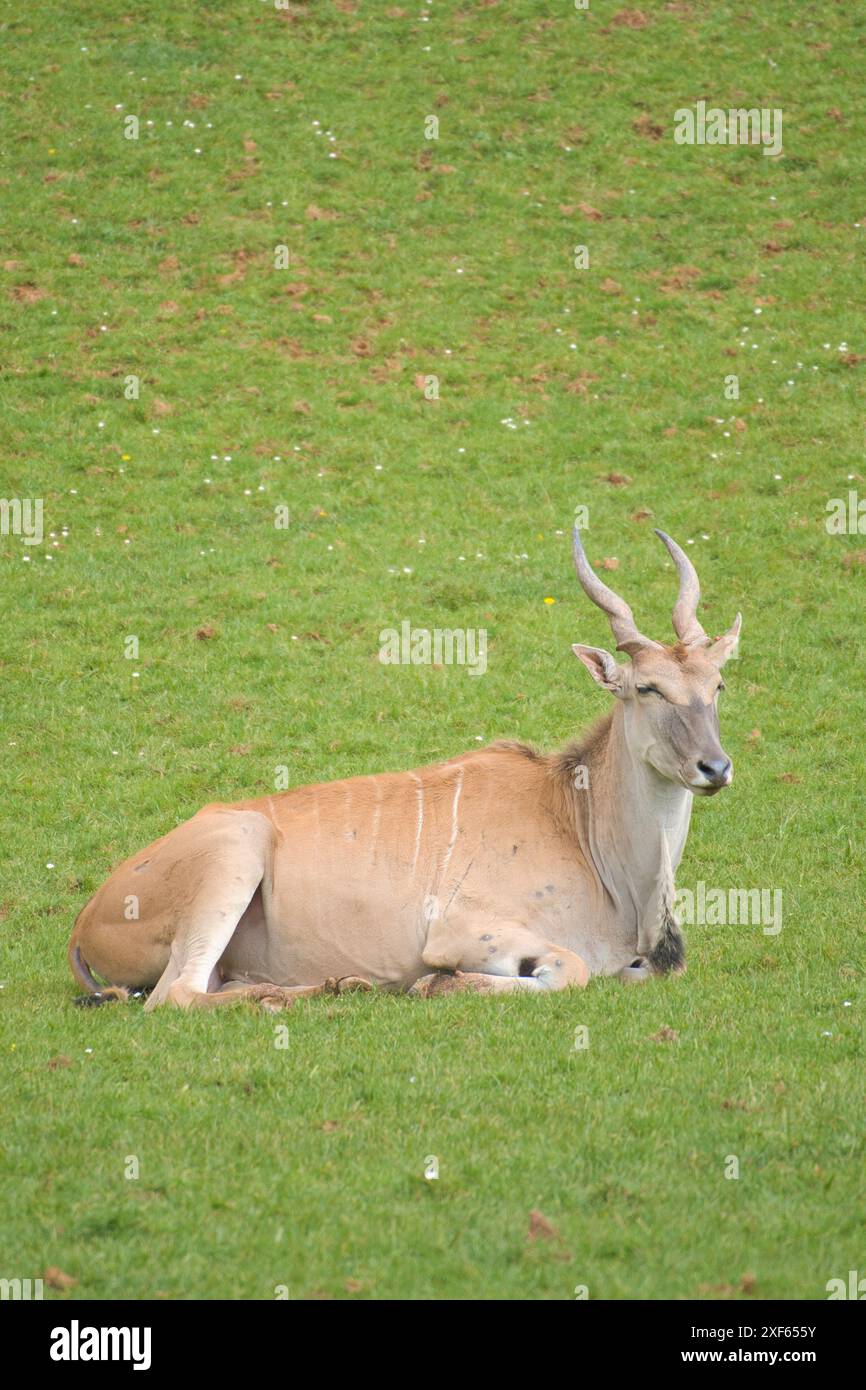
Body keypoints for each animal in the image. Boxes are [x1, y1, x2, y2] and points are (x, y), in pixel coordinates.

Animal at [68, 528, 741, 1011]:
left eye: (717, 685)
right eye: (647, 688)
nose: (715, 767)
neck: (581, 828)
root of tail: (87, 917)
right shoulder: (462, 932)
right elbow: (568, 970)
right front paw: (433, 984)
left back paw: (332, 986)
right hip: (236, 849)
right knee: (173, 996)